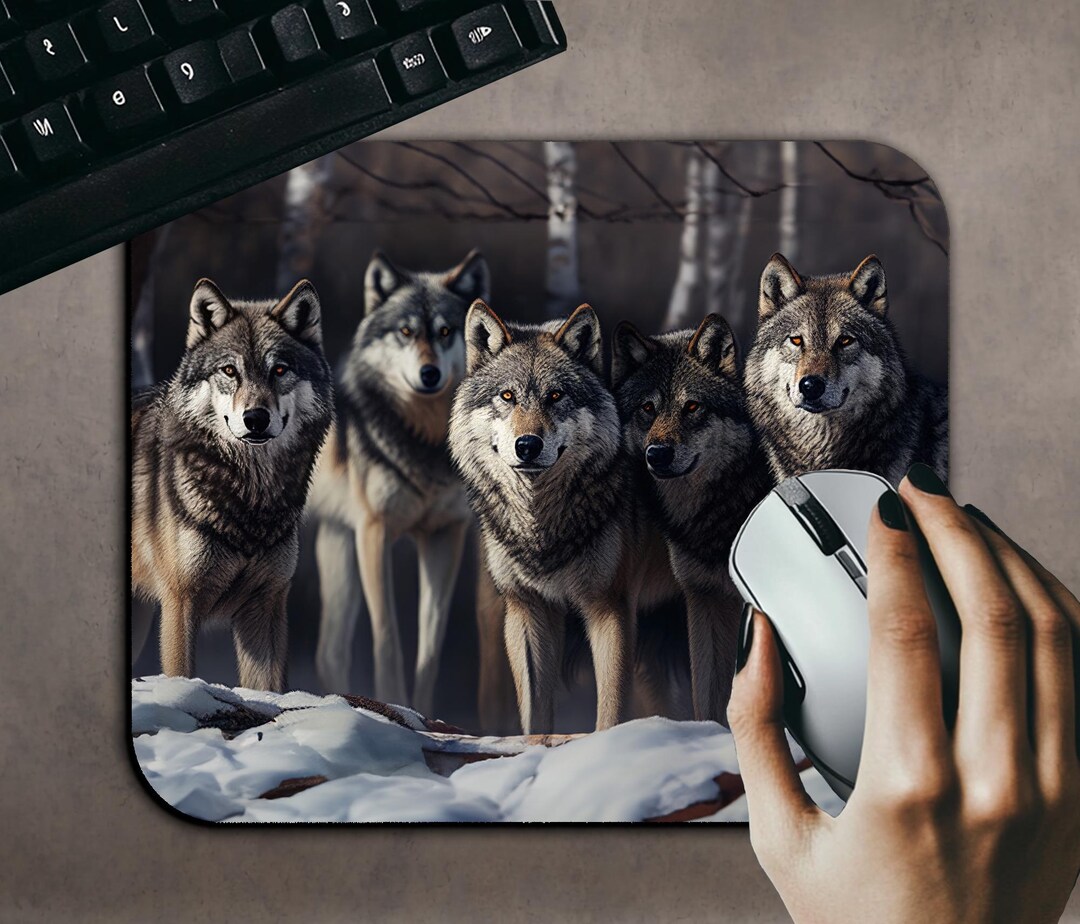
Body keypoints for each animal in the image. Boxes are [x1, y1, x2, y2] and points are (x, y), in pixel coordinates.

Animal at [131, 278, 333, 692]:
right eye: (229, 370)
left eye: (279, 369)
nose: (255, 418)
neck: (251, 498)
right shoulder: (180, 602)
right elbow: (181, 673)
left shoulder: (267, 605)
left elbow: (268, 690)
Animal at [307, 250, 489, 717]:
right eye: (406, 331)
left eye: (445, 331)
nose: (429, 374)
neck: (422, 442)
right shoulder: (374, 532)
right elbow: (388, 641)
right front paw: (393, 704)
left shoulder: (444, 535)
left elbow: (430, 650)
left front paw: (426, 713)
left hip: (335, 544)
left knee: (328, 652)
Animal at [449, 300, 639, 734]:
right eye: (507, 395)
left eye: (555, 396)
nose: (527, 445)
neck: (541, 525)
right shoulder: (526, 610)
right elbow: (534, 714)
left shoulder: (609, 607)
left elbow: (612, 710)